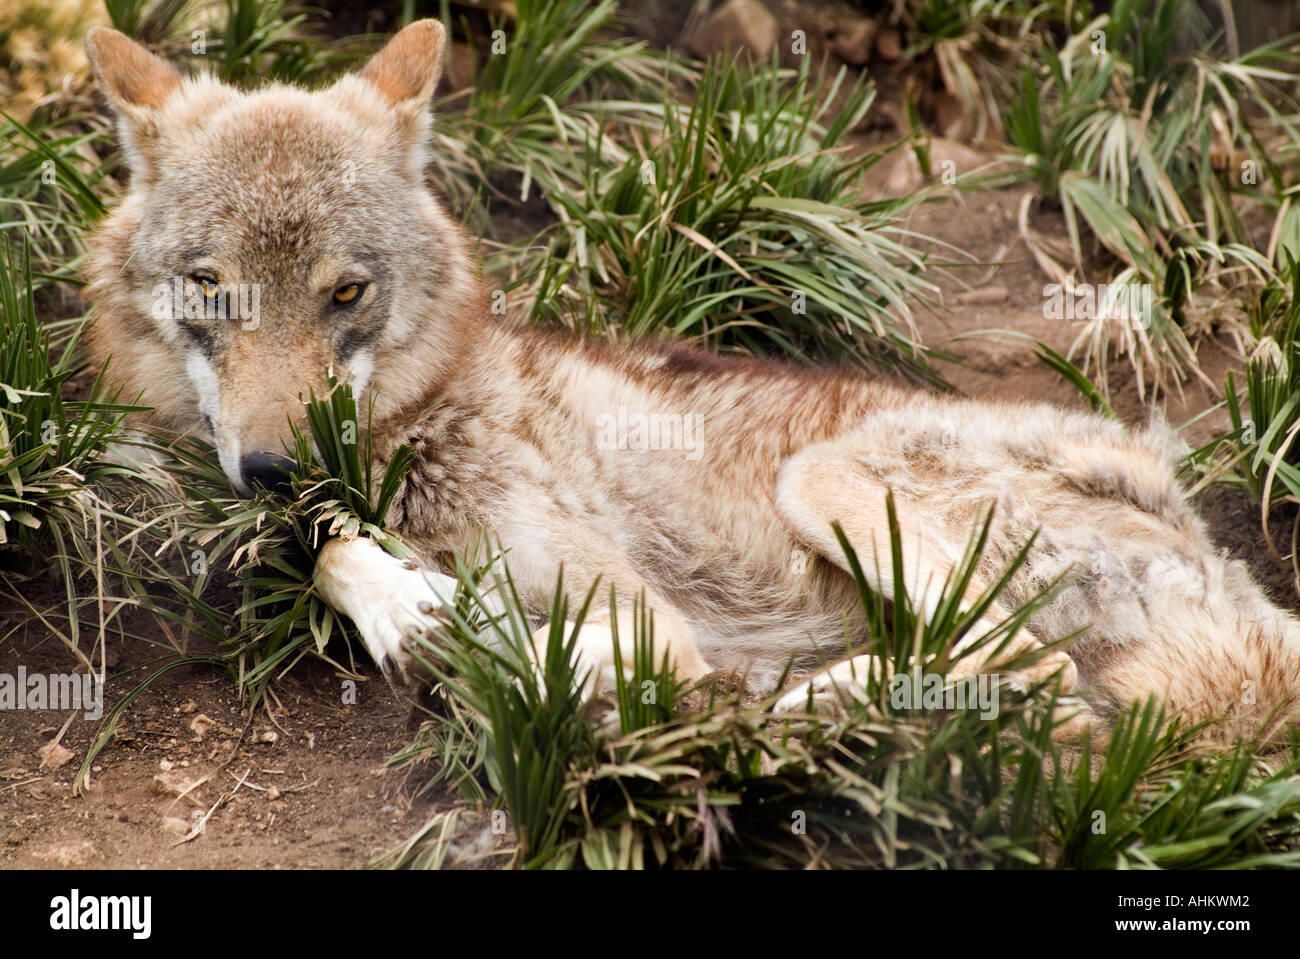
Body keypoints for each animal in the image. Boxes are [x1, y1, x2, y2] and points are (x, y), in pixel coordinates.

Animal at [83, 20, 1300, 748]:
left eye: (345, 293)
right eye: (212, 287)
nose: (270, 465)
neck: (413, 431)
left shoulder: (633, 612)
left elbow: (547, 644)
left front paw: (465, 620)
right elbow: (327, 548)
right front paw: (394, 592)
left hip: (830, 479)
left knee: (1029, 670)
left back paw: (793, 703)